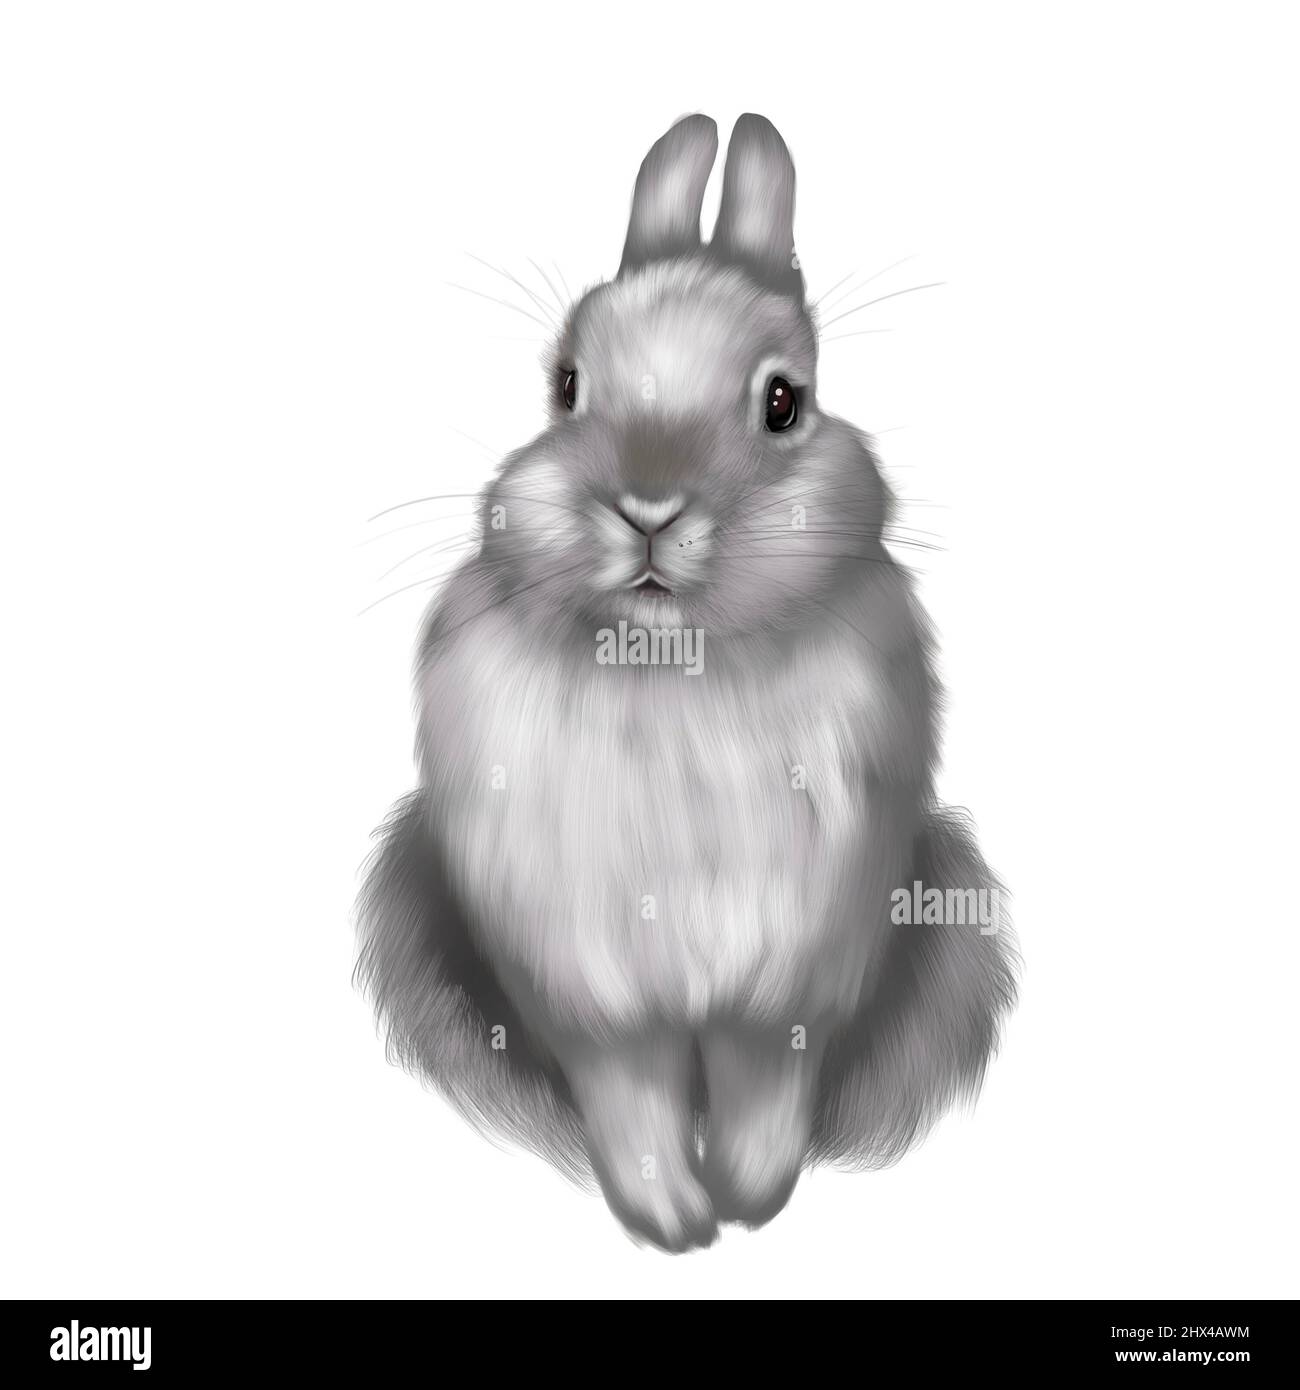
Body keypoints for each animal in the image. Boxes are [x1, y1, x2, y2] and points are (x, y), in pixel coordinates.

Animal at [356, 113, 1018, 1252]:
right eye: (566, 386)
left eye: (784, 403)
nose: (648, 507)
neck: (674, 666)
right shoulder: (596, 999)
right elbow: (631, 1101)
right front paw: (672, 1222)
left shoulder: (792, 983)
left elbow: (765, 1086)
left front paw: (750, 1199)